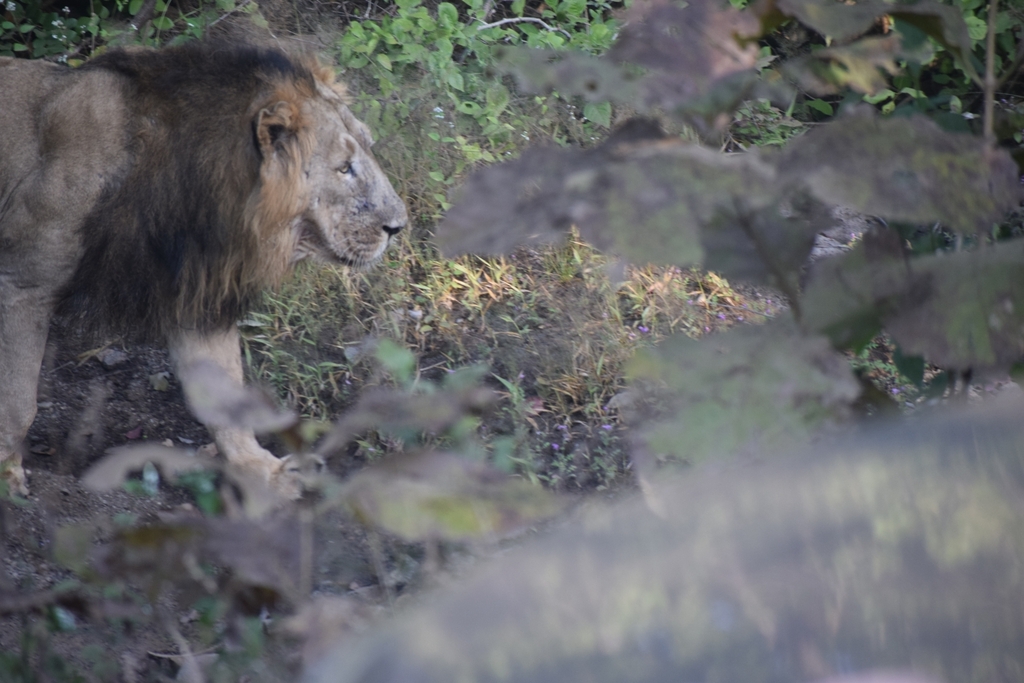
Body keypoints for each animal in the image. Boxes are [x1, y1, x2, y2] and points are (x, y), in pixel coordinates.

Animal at [0, 40, 408, 497]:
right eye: (343, 168)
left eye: (368, 150)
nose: (399, 226)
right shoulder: (24, 280)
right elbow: (17, 400)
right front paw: (7, 474)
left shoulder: (193, 295)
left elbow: (224, 395)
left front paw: (261, 470)